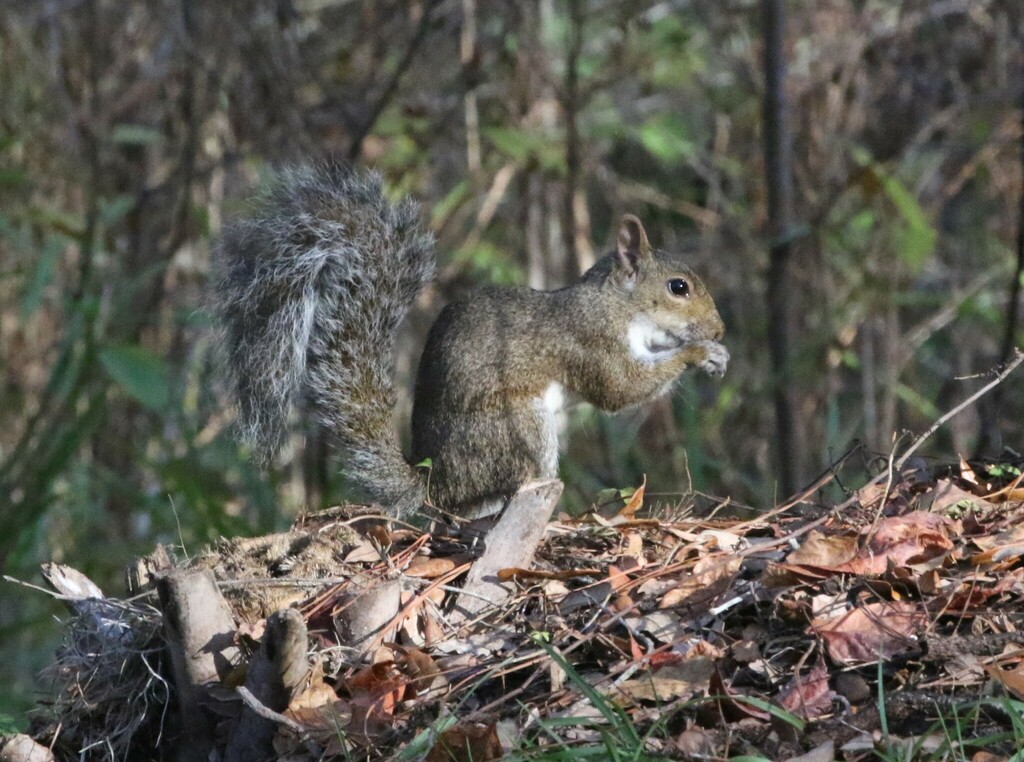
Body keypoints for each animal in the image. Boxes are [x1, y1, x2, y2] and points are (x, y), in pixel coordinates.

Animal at [215, 165, 728, 518]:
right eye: (678, 287)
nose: (720, 330)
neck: (620, 305)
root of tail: (436, 484)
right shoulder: (590, 338)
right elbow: (620, 389)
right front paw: (699, 353)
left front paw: (715, 355)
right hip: (520, 427)